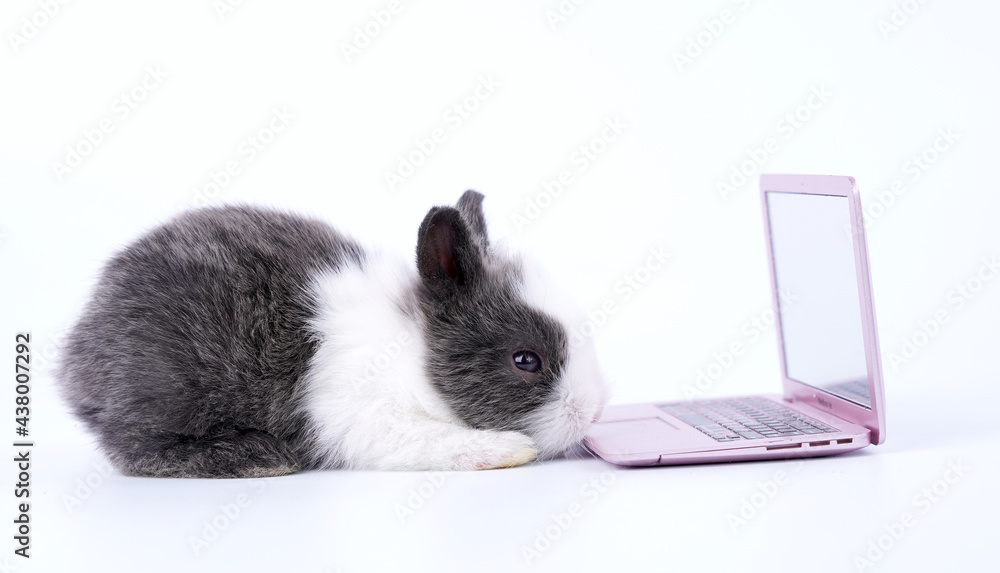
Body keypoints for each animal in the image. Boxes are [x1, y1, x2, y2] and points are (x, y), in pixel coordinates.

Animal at [57, 191, 609, 478]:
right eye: (526, 360)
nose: (590, 413)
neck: (410, 352)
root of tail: (73, 363)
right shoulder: (365, 418)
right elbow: (437, 440)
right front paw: (508, 451)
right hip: (169, 393)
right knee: (135, 448)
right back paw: (260, 458)